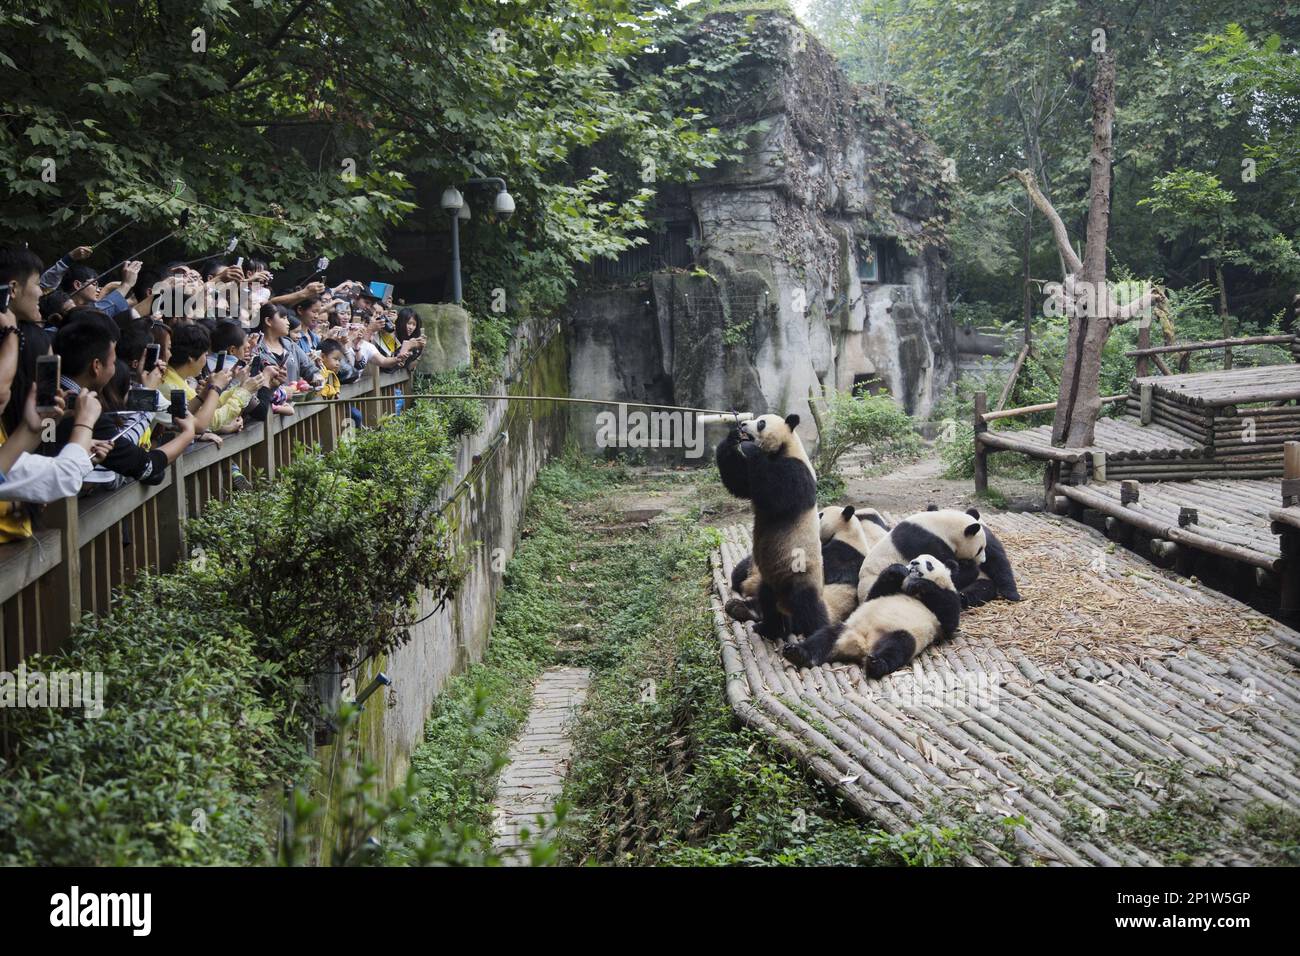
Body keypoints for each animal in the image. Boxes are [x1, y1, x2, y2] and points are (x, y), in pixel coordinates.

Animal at [716, 413, 829, 641]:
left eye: (761, 423)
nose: (743, 424)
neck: (784, 448)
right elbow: (739, 483)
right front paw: (732, 438)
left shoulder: (797, 471)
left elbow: (777, 495)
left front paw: (749, 447)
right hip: (769, 580)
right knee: (768, 602)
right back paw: (768, 629)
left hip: (800, 573)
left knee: (809, 607)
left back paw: (818, 632)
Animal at [783, 554, 962, 678]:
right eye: (914, 558)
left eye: (929, 564)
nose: (914, 563)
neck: (913, 594)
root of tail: (862, 645)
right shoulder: (887, 591)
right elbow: (875, 592)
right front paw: (898, 570)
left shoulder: (947, 602)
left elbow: (949, 617)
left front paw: (918, 583)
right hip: (847, 627)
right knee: (824, 637)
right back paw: (797, 653)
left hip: (904, 633)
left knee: (898, 646)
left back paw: (876, 664)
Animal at [856, 507, 987, 603]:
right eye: (980, 549)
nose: (983, 561)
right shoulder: (927, 543)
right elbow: (949, 570)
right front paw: (970, 567)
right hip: (873, 581)